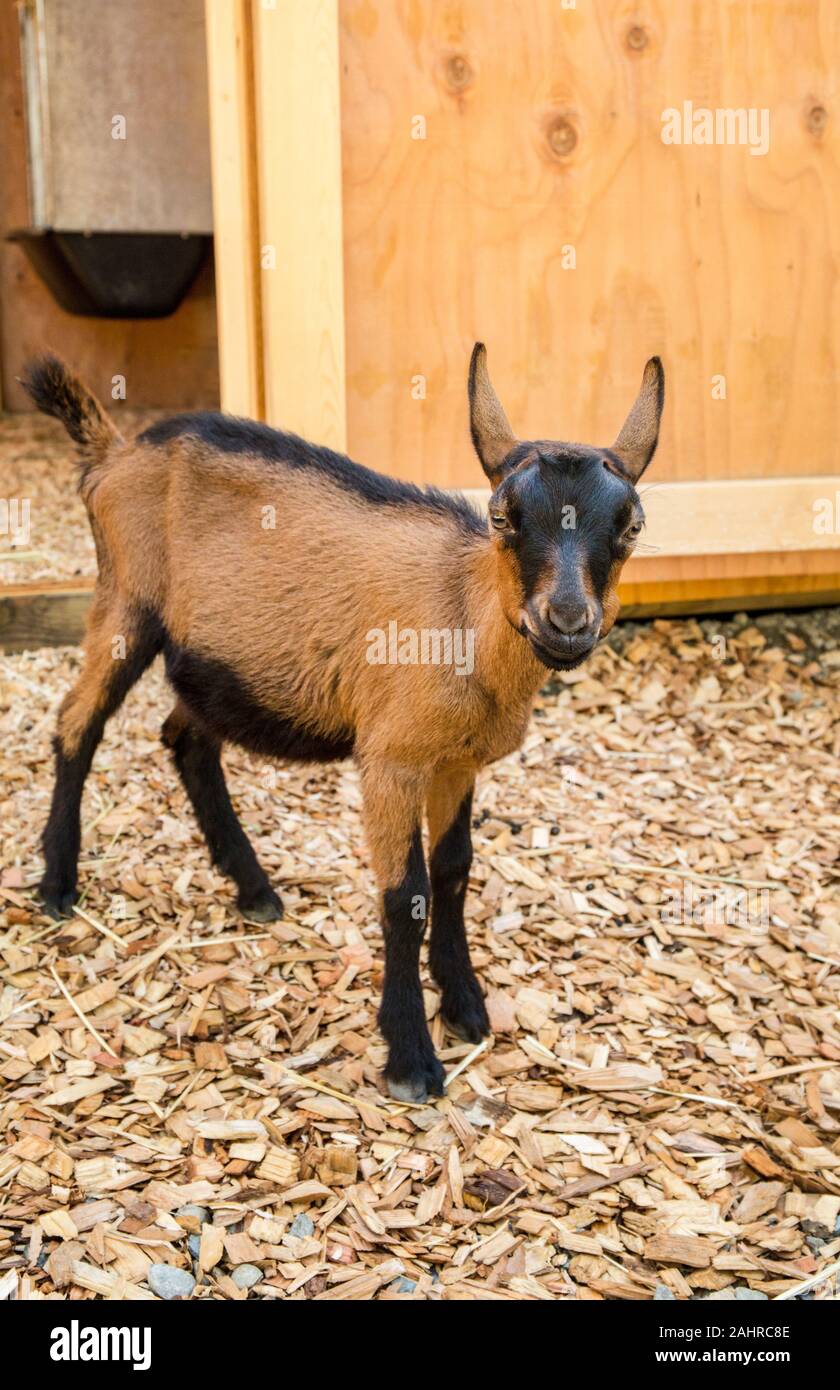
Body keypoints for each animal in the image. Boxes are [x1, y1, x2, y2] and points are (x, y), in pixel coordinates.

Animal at [21, 346, 664, 1101]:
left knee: (186, 739)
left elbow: (454, 871)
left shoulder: (456, 761)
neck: (462, 617)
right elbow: (405, 894)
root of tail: (113, 452)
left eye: (631, 526)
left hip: (213, 658)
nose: (565, 622)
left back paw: (254, 888)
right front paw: (411, 1058)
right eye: (502, 516)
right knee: (76, 722)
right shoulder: (391, 758)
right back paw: (58, 884)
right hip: (126, 598)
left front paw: (467, 1006)